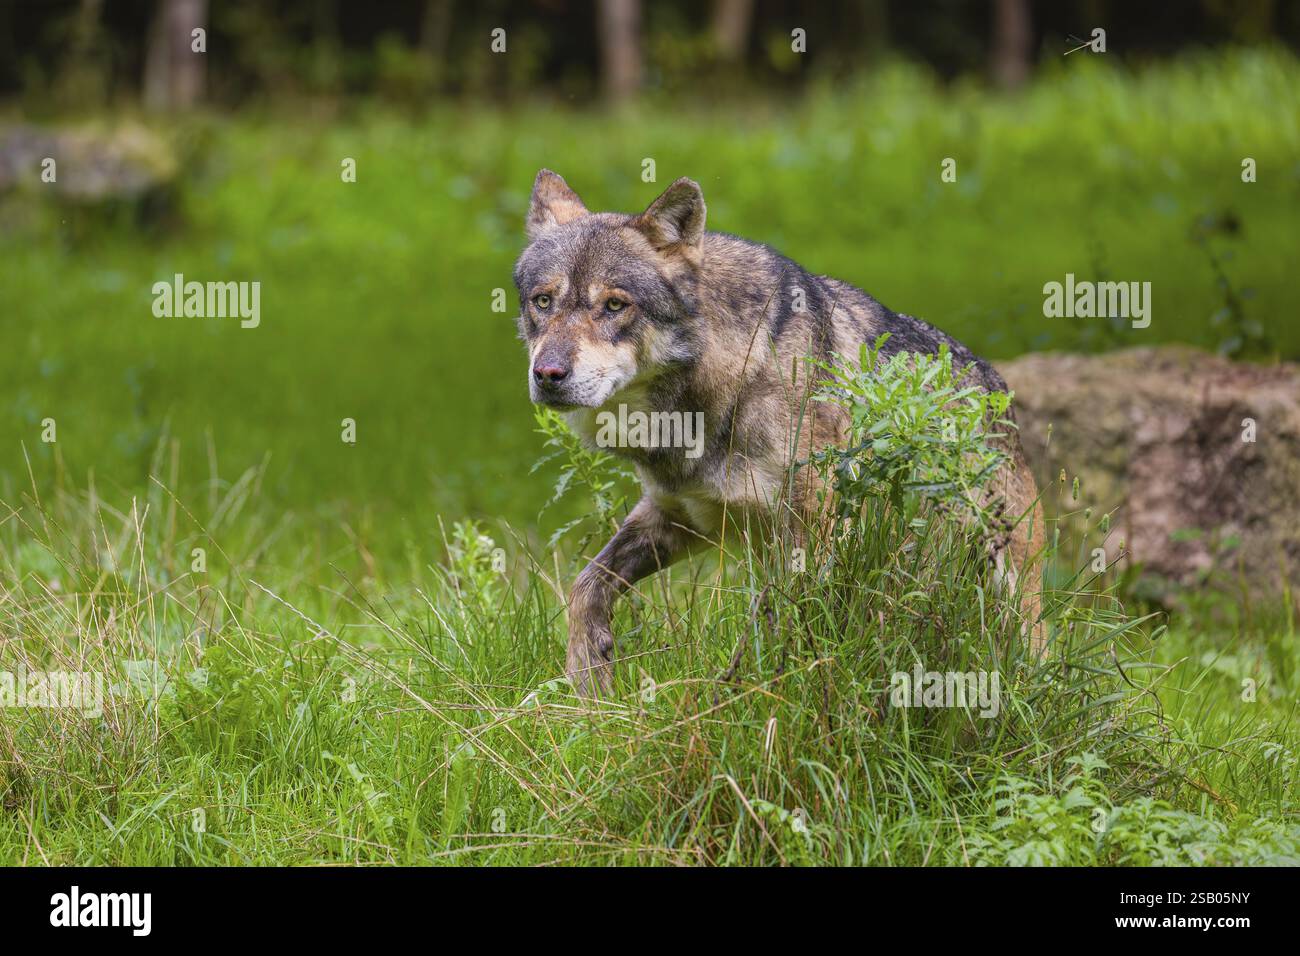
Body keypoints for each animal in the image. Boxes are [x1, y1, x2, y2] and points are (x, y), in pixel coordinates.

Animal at [514, 170, 1046, 696]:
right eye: (543, 302)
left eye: (614, 305)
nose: (548, 374)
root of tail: (994, 385)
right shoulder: (678, 517)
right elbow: (585, 587)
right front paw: (590, 682)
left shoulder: (811, 528)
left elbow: (779, 629)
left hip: (1009, 576)